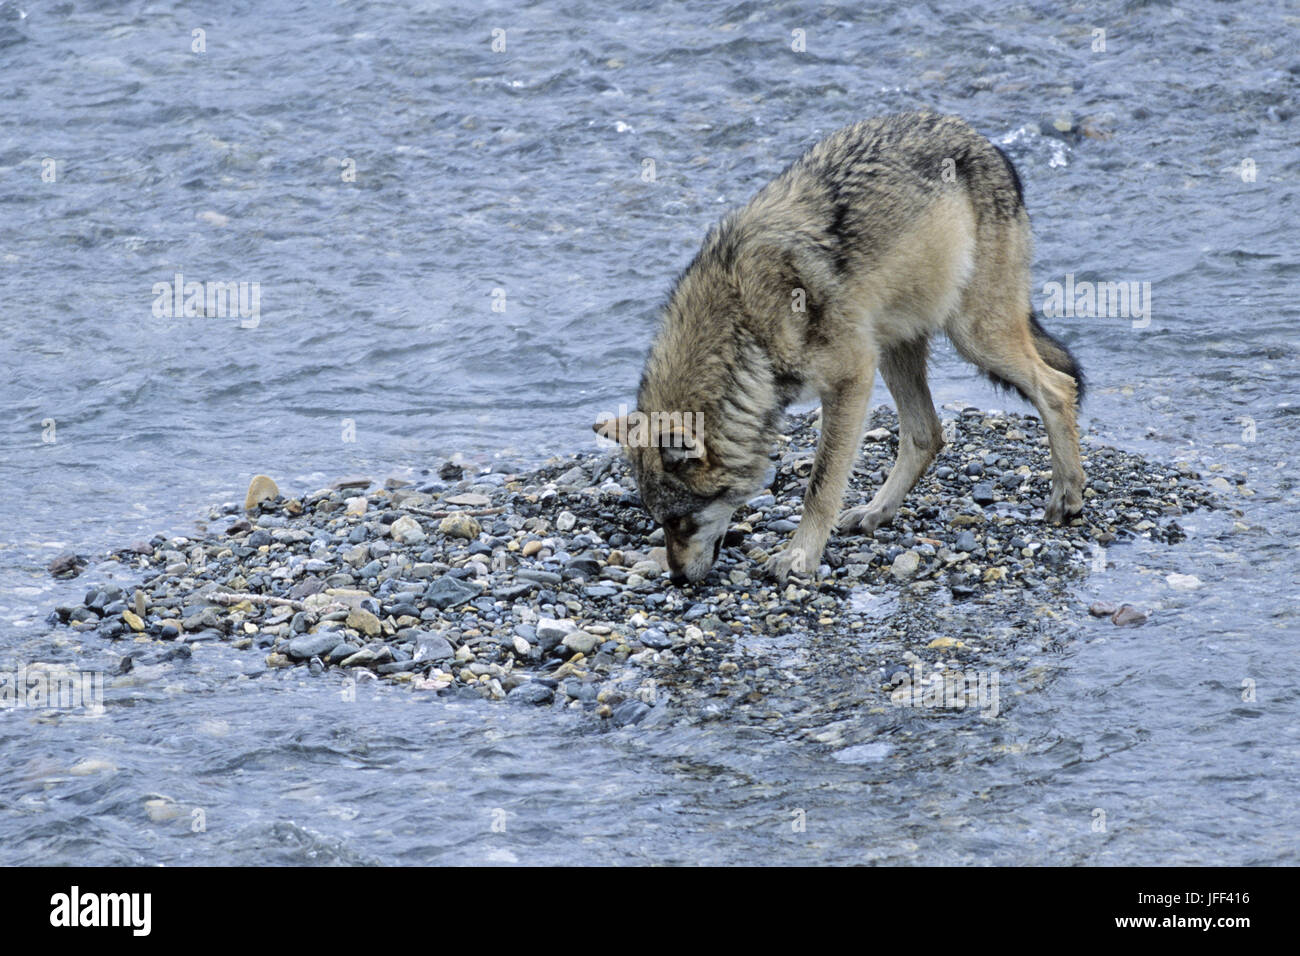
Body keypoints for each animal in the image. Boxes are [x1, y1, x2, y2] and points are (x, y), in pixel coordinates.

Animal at [594, 112, 1085, 584]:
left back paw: (1067, 496)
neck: (742, 323)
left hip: (972, 335)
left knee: (1058, 387)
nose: (677, 580)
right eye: (660, 521)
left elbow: (821, 484)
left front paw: (798, 557)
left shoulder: (851, 378)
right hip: (896, 346)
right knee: (926, 433)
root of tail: (985, 142)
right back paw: (875, 512)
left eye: (679, 520)